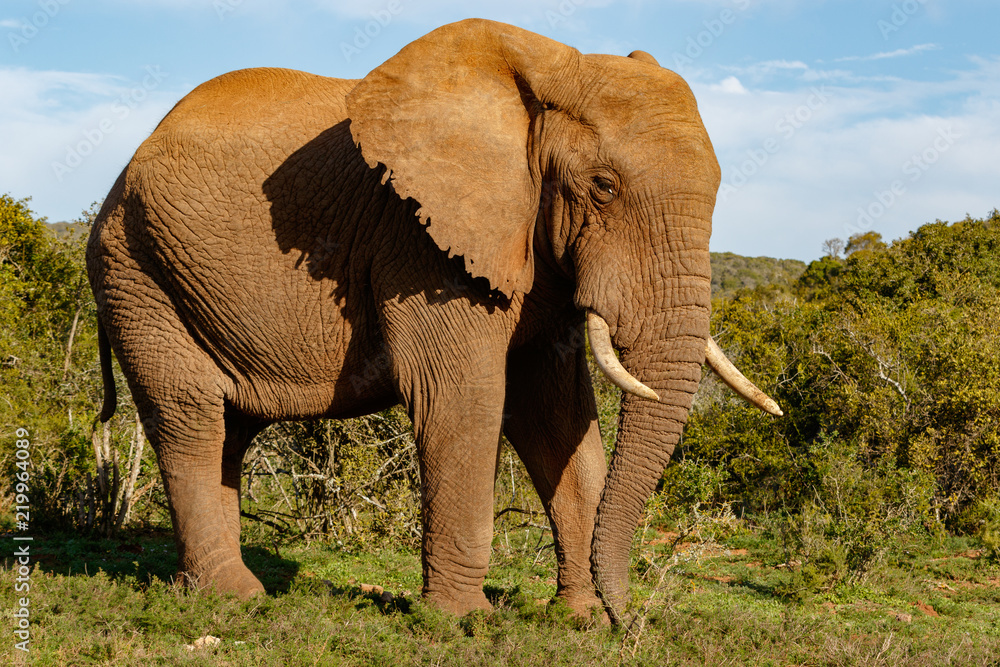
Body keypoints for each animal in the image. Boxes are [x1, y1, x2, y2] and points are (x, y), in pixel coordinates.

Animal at [87, 18, 780, 623]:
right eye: (603, 187)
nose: (628, 622)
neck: (546, 76)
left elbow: (554, 412)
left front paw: (577, 620)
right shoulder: (419, 239)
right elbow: (462, 398)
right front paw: (463, 622)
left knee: (229, 426)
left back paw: (206, 588)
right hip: (135, 271)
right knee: (189, 413)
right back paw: (235, 599)